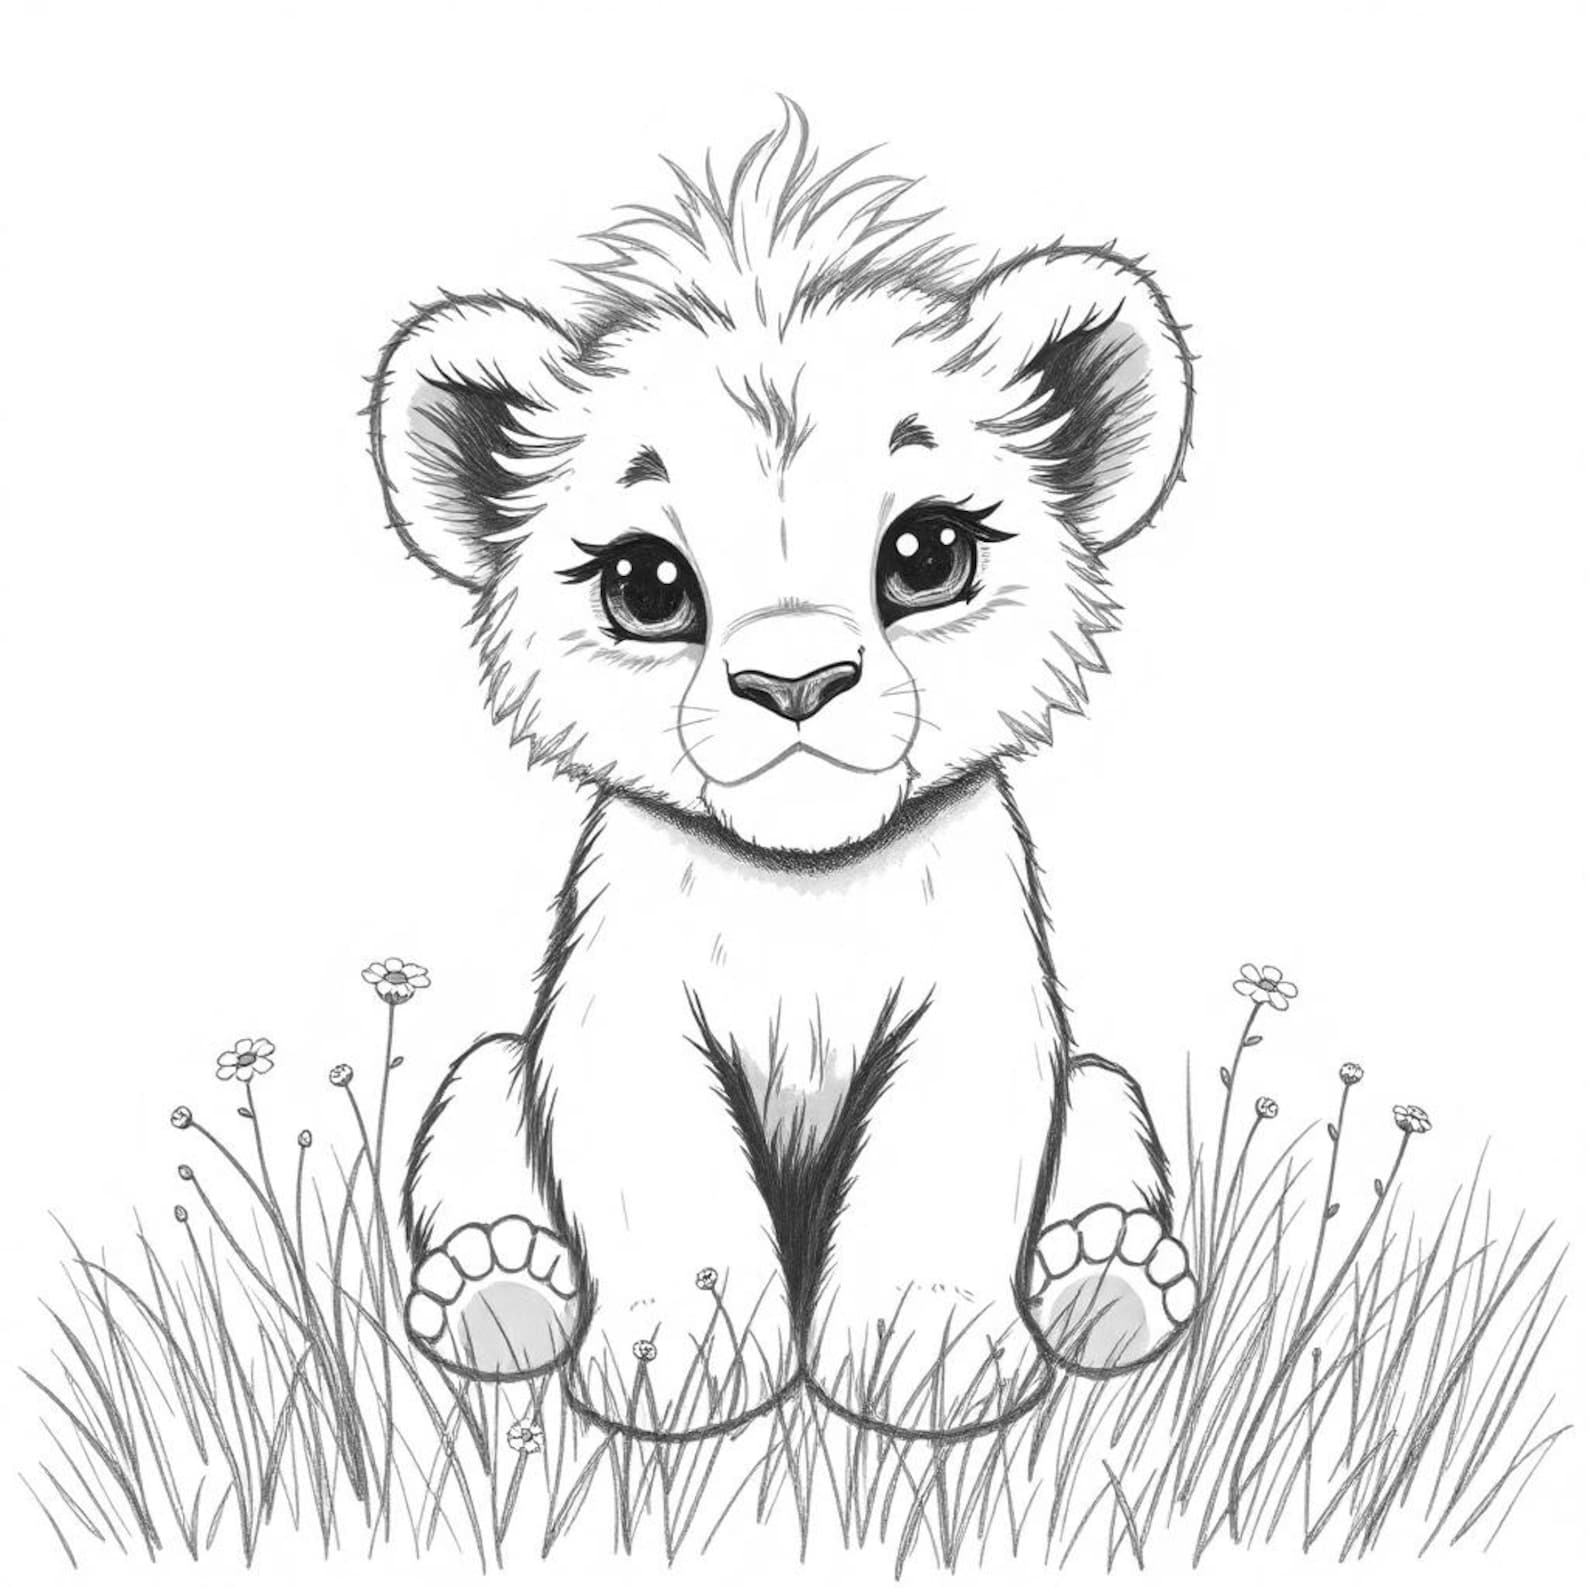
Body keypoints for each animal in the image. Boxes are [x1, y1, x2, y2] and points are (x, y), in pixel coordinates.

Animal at [367, 103, 1197, 1440]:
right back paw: (497, 1292)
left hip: (1103, 1083)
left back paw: (1110, 1277)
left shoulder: (978, 1007)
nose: (795, 682)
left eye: (928, 553)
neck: (806, 893)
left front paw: (929, 1364)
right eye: (645, 582)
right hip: (487, 1075)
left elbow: (938, 1170)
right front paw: (682, 1369)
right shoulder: (620, 1012)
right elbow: (667, 1181)